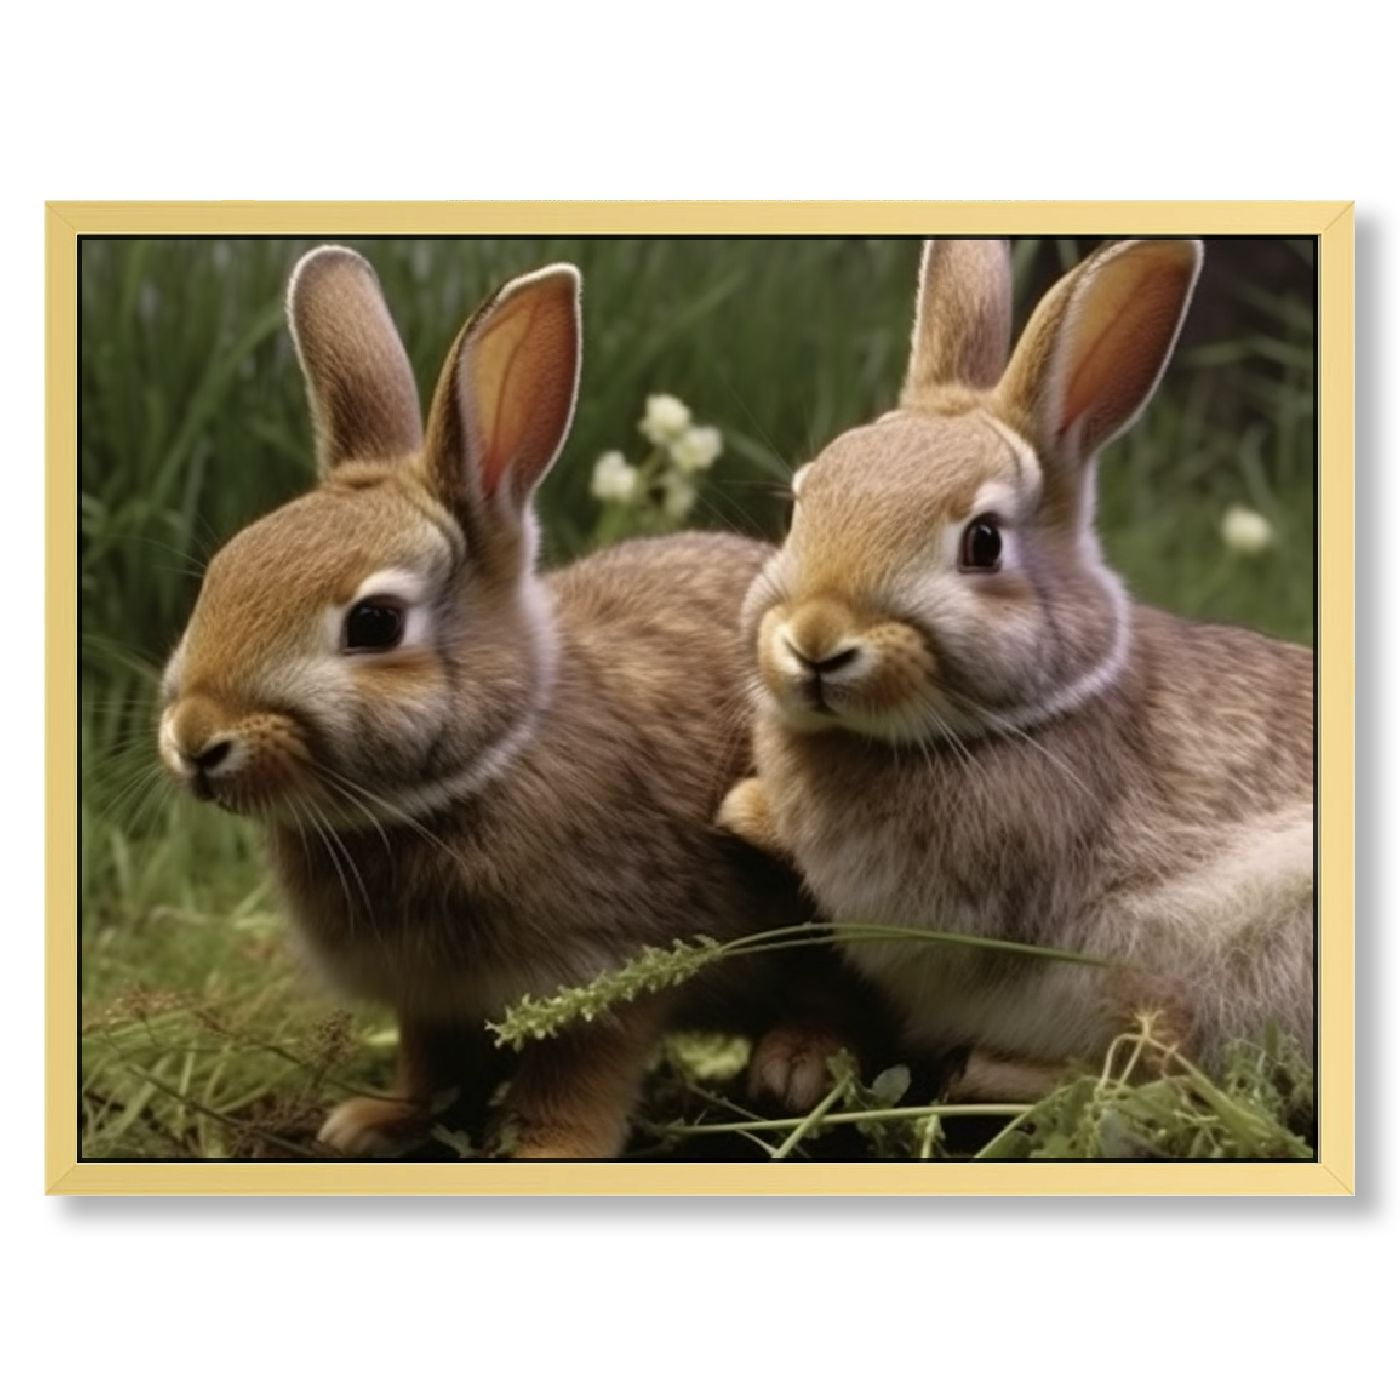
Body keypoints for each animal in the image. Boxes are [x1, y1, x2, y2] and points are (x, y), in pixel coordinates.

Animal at [156, 245, 887, 1159]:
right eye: (224, 569)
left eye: (374, 623)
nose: (194, 740)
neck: (481, 768)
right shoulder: (431, 1001)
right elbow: (431, 1065)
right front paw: (372, 1124)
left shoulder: (606, 972)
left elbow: (578, 1075)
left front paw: (549, 1151)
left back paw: (796, 1068)